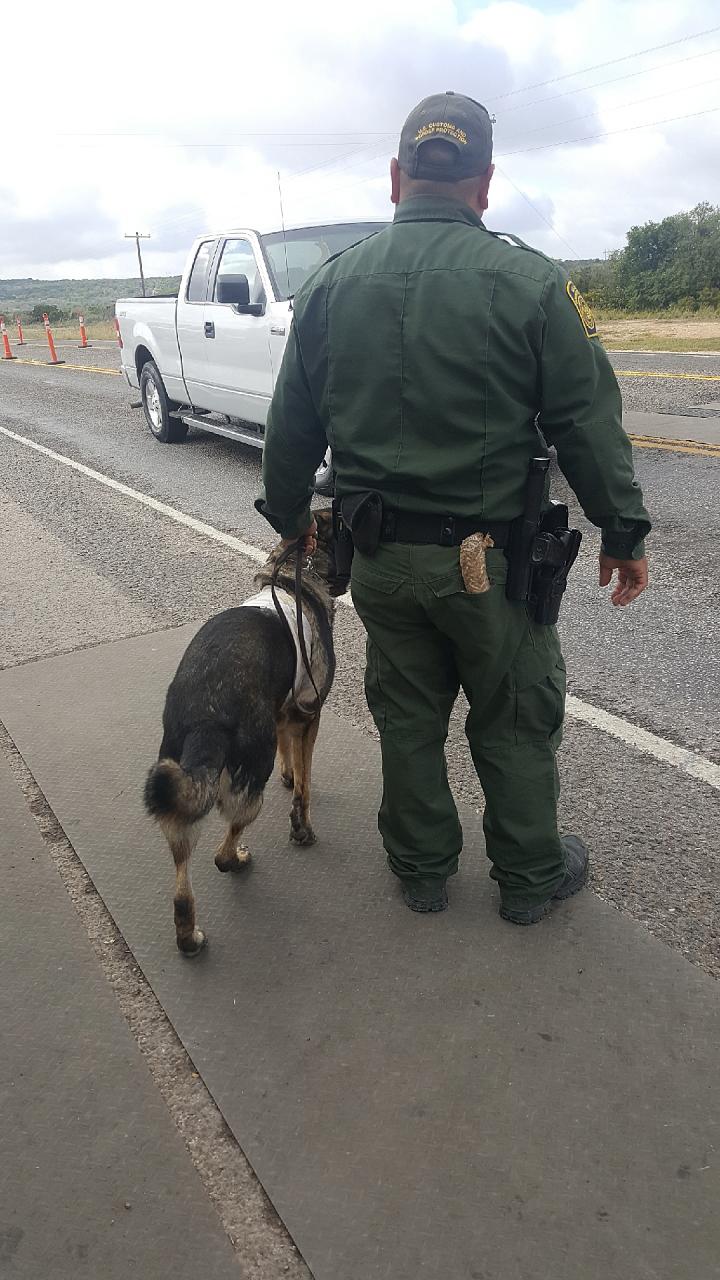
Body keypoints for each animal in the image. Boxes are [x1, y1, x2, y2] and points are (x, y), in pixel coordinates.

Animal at [146, 504, 338, 957]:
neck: (294, 574)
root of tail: (206, 711)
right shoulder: (309, 715)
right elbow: (304, 784)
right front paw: (302, 826)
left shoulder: (284, 711)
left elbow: (291, 757)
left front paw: (290, 775)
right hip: (249, 778)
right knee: (222, 849)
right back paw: (236, 860)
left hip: (177, 789)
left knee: (182, 881)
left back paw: (188, 935)